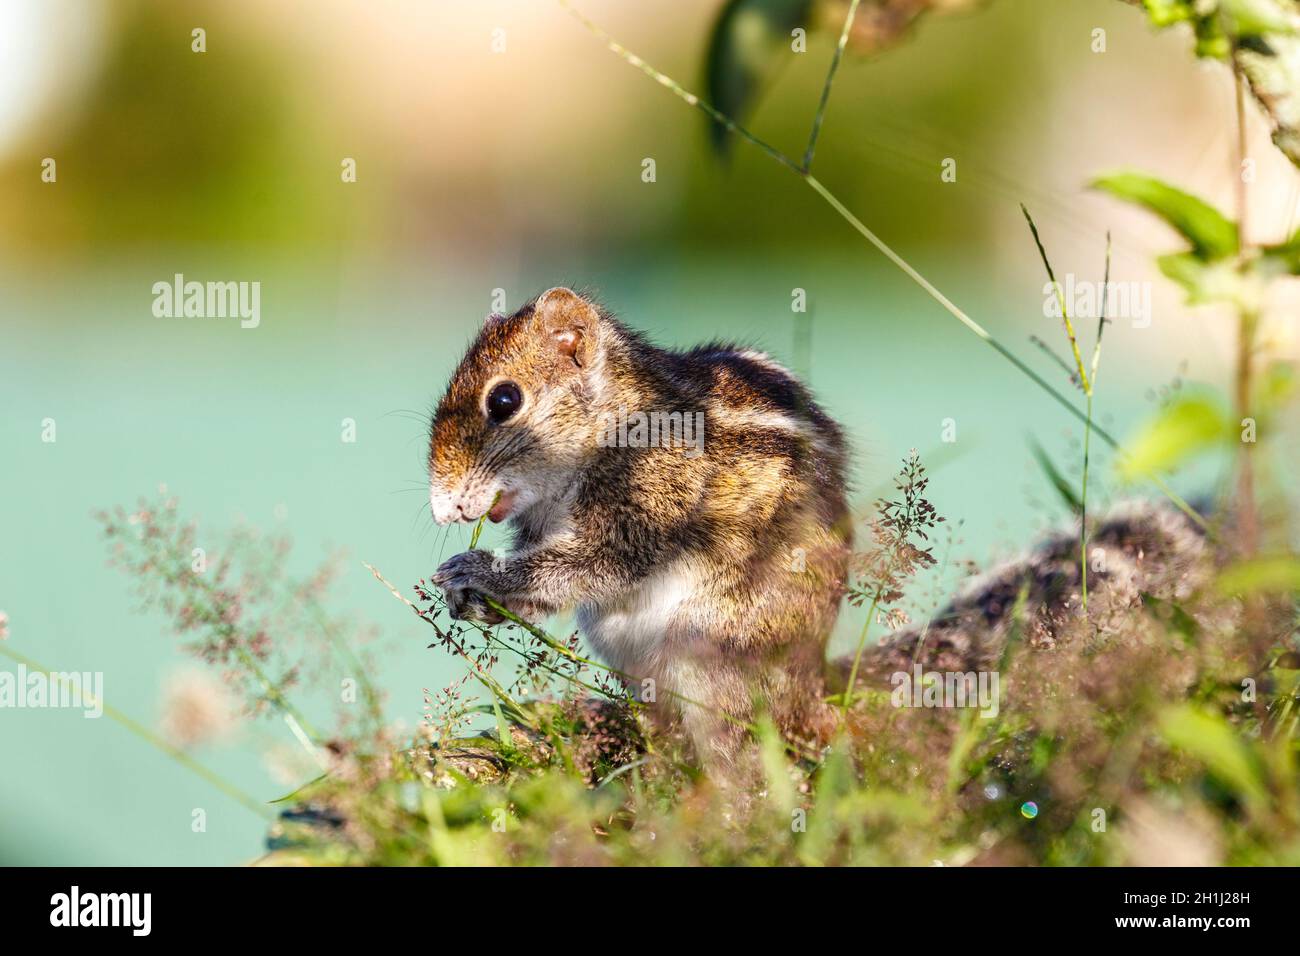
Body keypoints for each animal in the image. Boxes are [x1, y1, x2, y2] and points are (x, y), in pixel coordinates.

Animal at [428, 287, 853, 760]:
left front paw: (474, 570)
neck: (616, 418)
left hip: (710, 647)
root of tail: (810, 688)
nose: (441, 508)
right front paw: (472, 602)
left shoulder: (651, 500)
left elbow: (587, 566)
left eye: (504, 400)